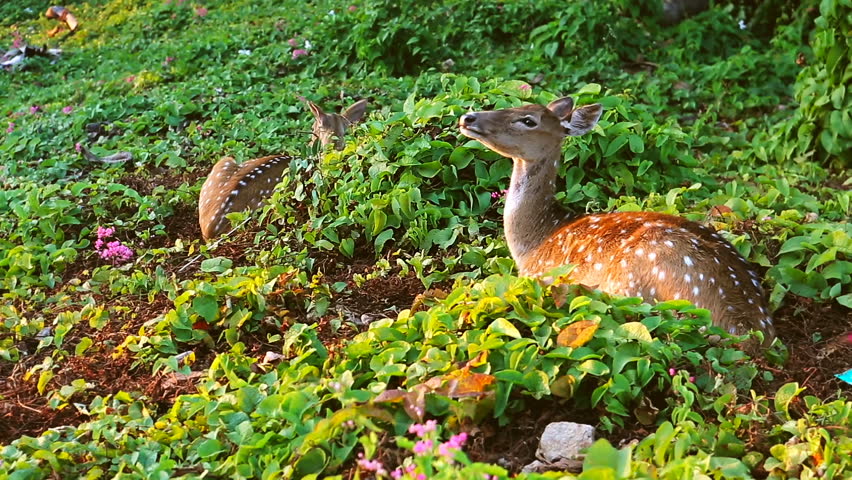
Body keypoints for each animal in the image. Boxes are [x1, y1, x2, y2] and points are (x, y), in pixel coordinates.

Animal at [458, 97, 775, 346]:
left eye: (528, 120)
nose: (468, 117)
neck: (534, 242)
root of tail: (752, 332)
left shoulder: (539, 276)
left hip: (637, 281)